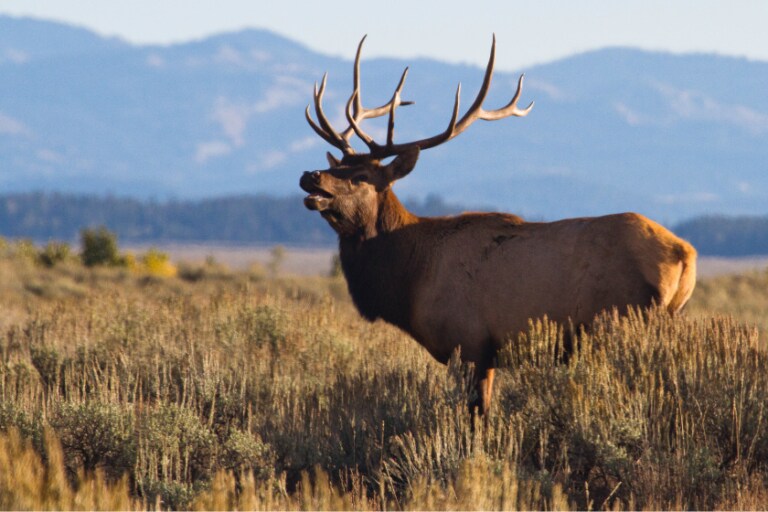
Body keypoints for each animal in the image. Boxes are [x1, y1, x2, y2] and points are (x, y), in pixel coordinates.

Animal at [299, 36, 697, 415]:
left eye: (362, 176)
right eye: (338, 166)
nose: (310, 175)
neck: (410, 276)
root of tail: (685, 255)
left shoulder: (469, 342)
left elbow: (478, 416)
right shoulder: (486, 353)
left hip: (624, 321)